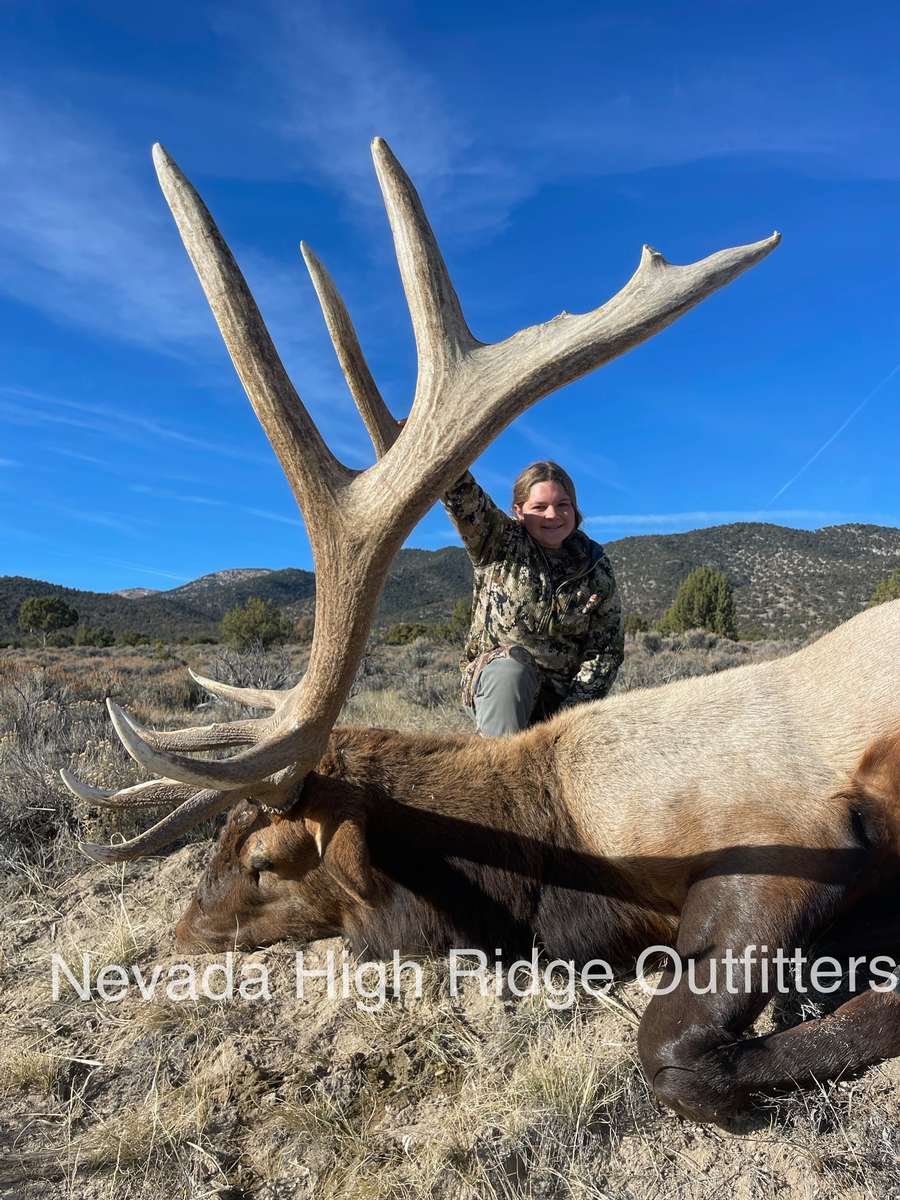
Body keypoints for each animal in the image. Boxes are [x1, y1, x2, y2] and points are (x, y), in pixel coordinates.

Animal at [58, 138, 900, 1127]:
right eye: (222, 835)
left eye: (265, 857)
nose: (181, 934)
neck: (554, 853)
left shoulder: (783, 839)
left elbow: (669, 1050)